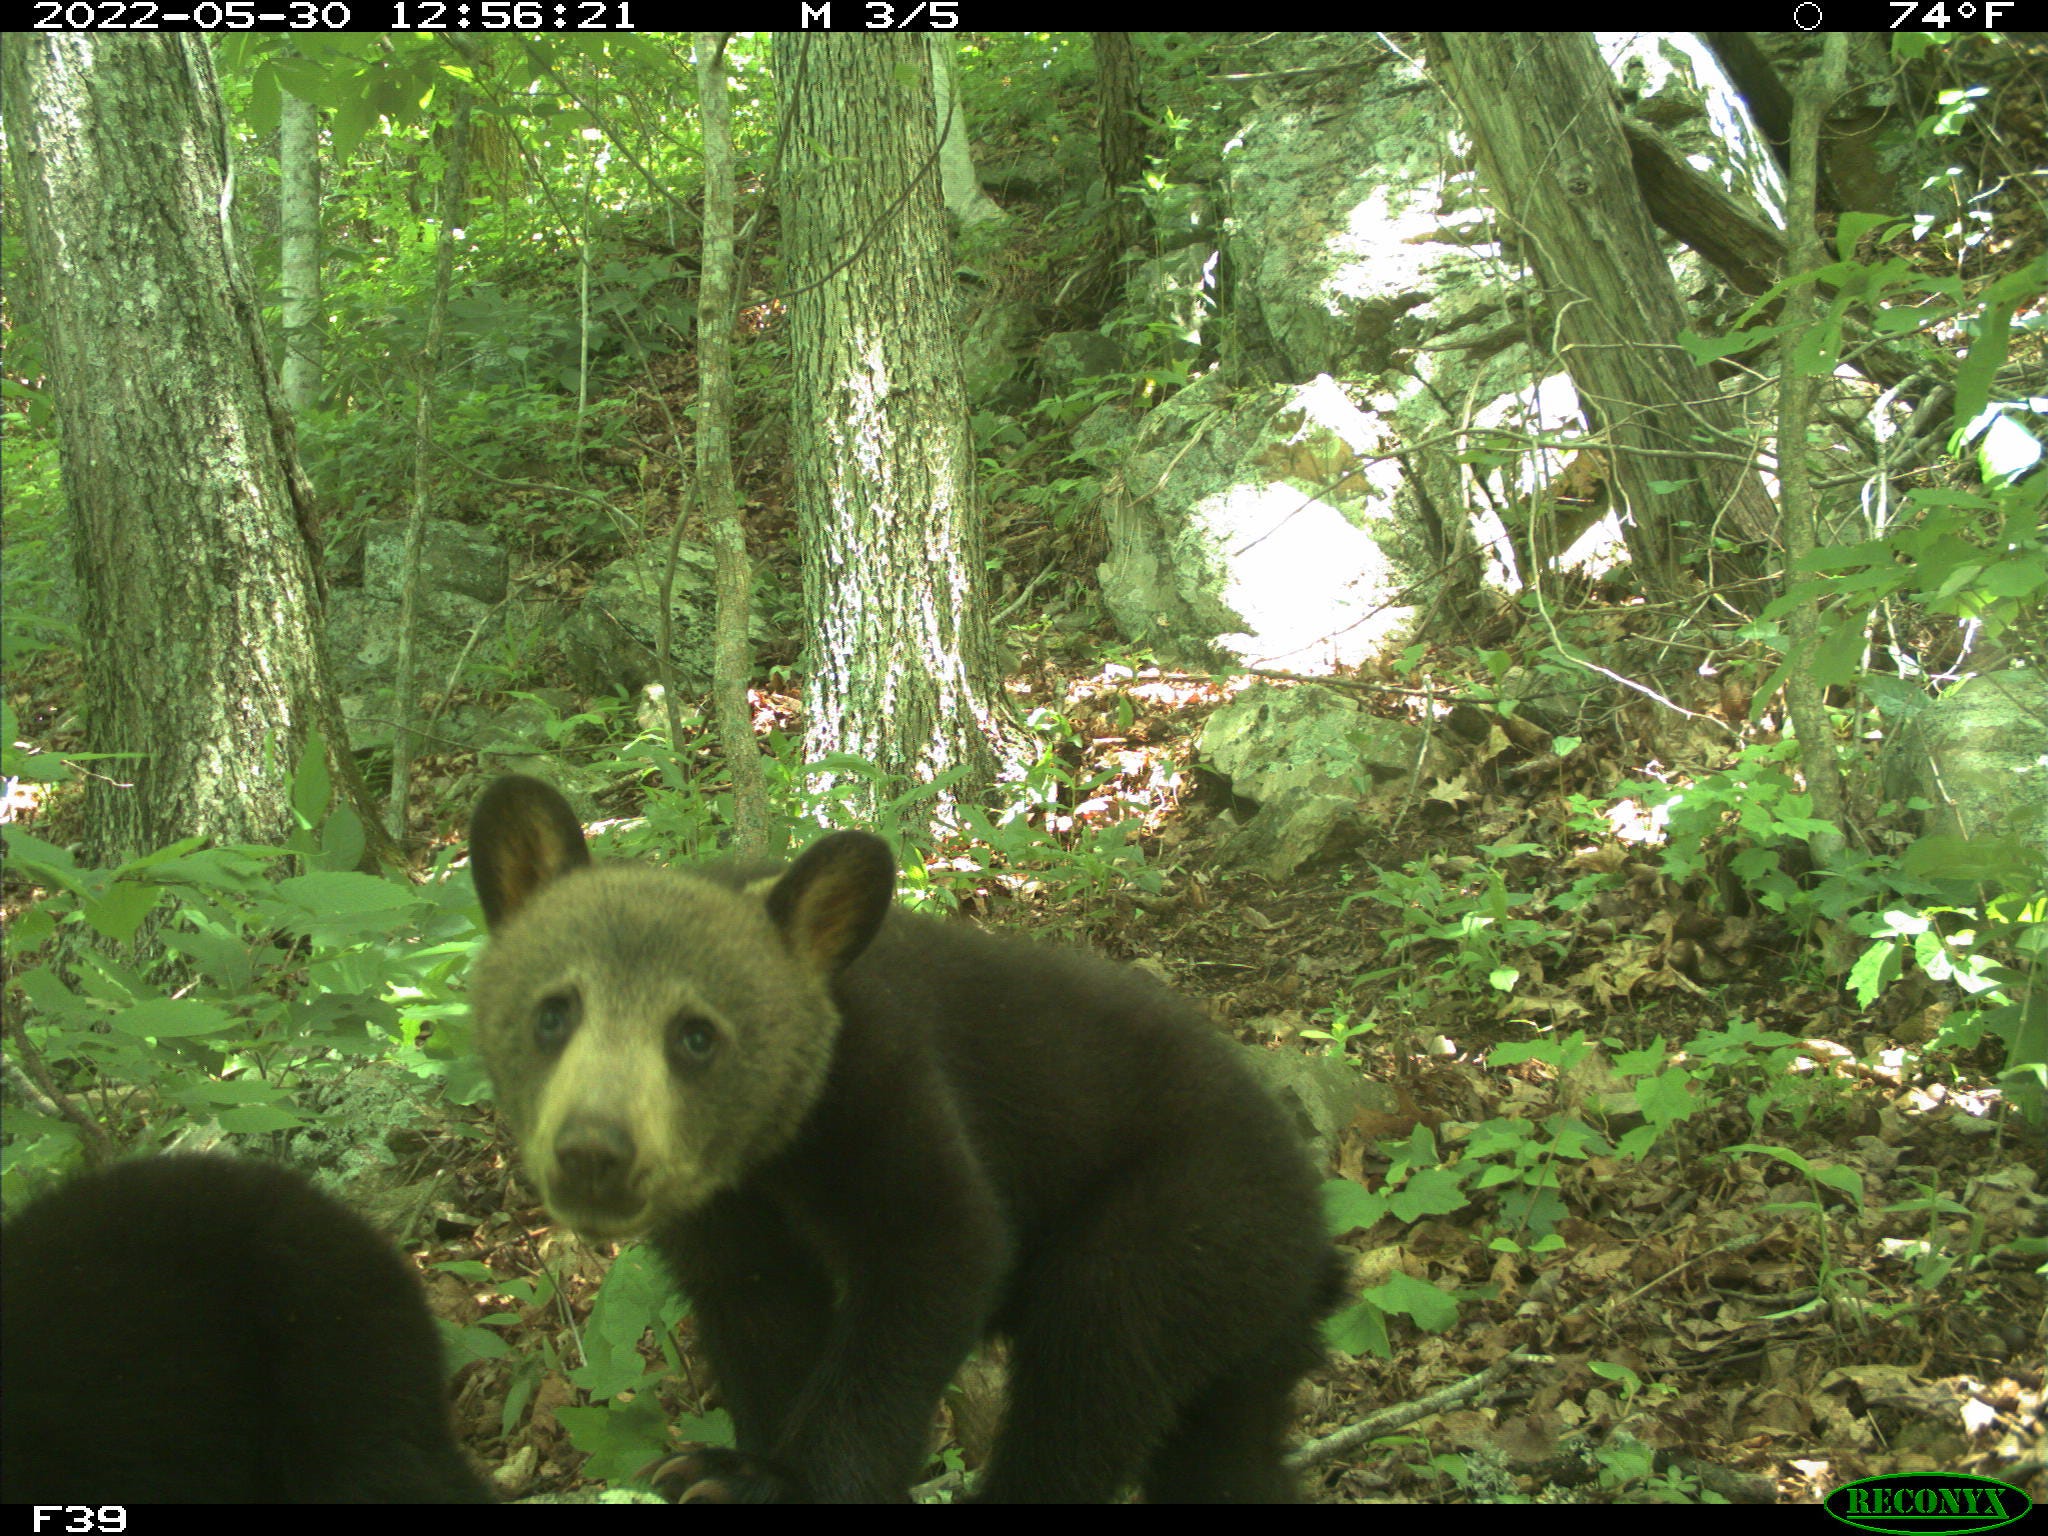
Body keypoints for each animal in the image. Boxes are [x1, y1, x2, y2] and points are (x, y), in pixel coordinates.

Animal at [467, 774, 1342, 1503]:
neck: (773, 1155)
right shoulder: (724, 1212)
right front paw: (729, 1461)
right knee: (1225, 1456)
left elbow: (939, 1253)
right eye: (553, 1012)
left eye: (696, 1036)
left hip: (1188, 1217)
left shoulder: (890, 1084)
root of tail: (1315, 1238)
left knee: (1093, 1368)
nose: (593, 1152)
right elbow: (758, 1314)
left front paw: (783, 1482)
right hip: (1243, 1339)